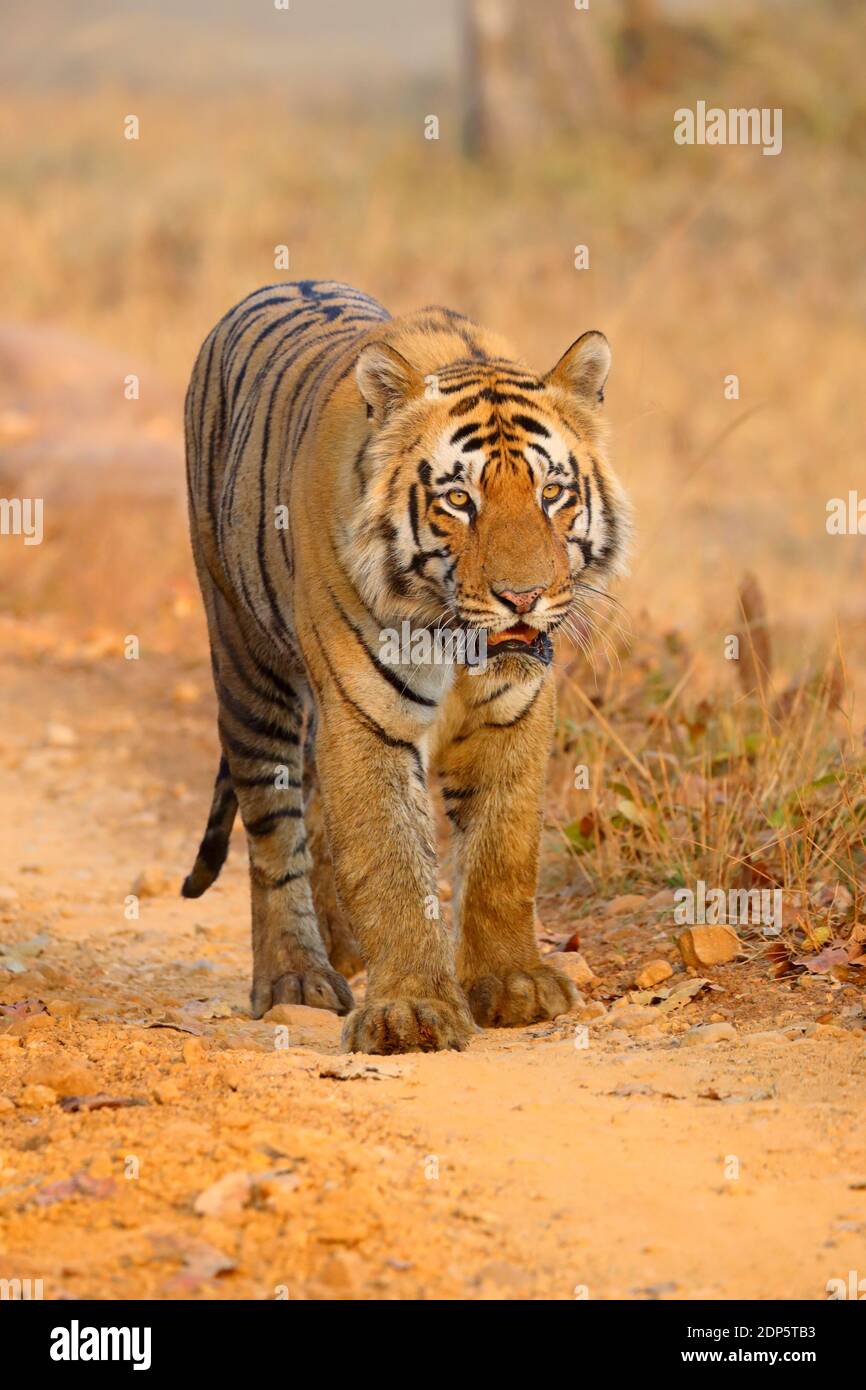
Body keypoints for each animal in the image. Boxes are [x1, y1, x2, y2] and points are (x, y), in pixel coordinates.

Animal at [182, 280, 631, 1054]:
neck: (454, 640)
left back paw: (341, 948)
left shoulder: (513, 712)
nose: (523, 597)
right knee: (273, 832)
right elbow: (392, 862)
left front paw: (514, 984)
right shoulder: (367, 717)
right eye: (458, 500)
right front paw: (412, 1011)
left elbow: (502, 855)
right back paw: (296, 976)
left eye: (552, 493)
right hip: (245, 664)